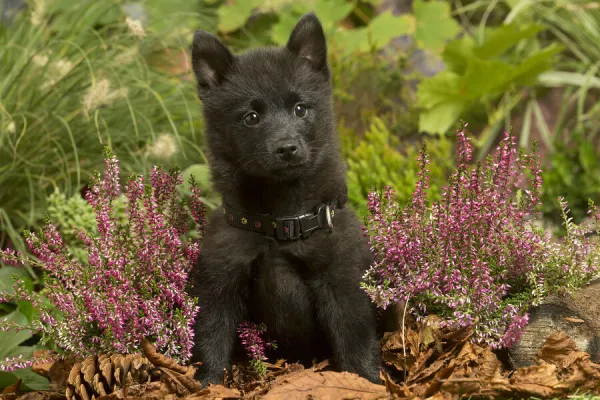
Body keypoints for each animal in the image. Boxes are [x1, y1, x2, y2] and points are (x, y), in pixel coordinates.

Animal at [189, 10, 380, 382]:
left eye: (300, 109)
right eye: (251, 117)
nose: (286, 148)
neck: (281, 222)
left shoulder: (340, 281)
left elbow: (355, 341)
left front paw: (368, 382)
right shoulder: (221, 283)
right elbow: (211, 341)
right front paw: (207, 384)